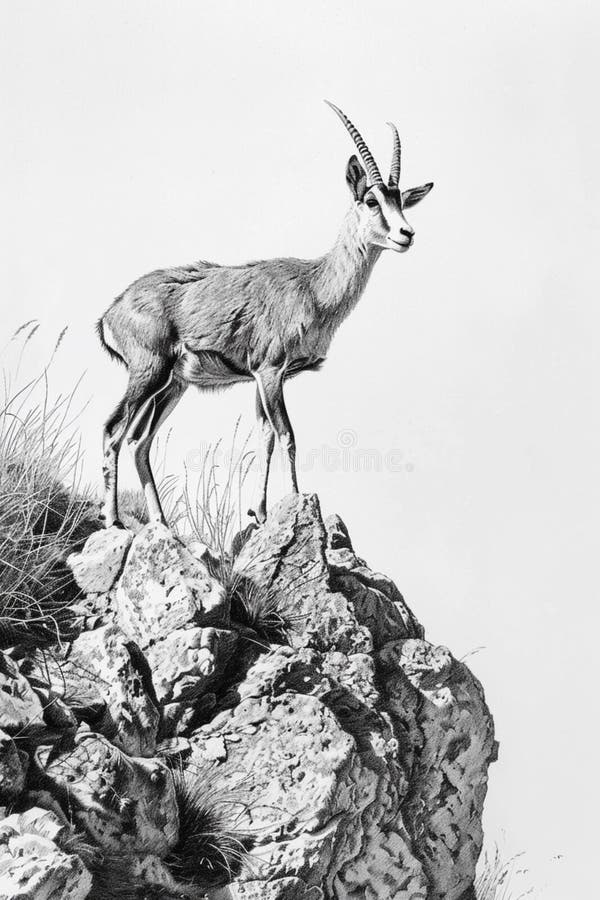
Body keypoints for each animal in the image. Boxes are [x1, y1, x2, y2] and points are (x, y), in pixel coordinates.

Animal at [97, 102, 433, 528]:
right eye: (372, 201)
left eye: (400, 201)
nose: (406, 234)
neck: (313, 286)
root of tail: (112, 310)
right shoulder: (271, 371)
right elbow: (287, 435)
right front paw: (296, 501)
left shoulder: (265, 378)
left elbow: (266, 438)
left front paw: (258, 512)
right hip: (148, 373)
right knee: (113, 430)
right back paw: (114, 520)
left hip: (173, 384)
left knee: (139, 440)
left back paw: (162, 524)